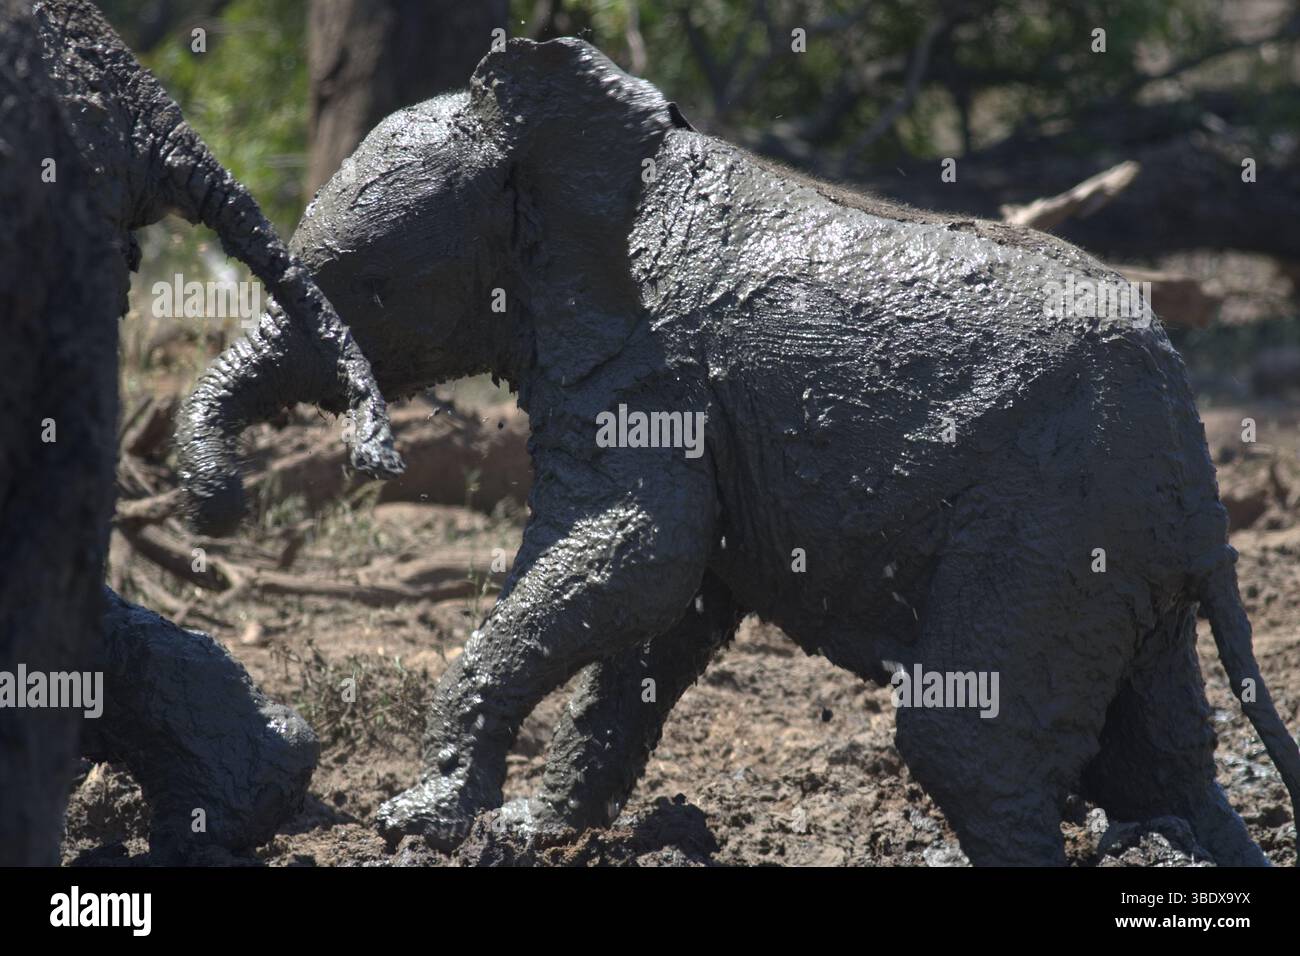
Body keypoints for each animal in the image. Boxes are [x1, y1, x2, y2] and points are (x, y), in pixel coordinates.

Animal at [178, 37, 1300, 865]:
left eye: (363, 289)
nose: (216, 504)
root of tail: (1203, 490)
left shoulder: (649, 364)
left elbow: (638, 553)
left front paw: (422, 821)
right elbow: (660, 610)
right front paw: (528, 831)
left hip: (1053, 526)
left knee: (970, 743)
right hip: (1119, 555)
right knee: (1157, 763)